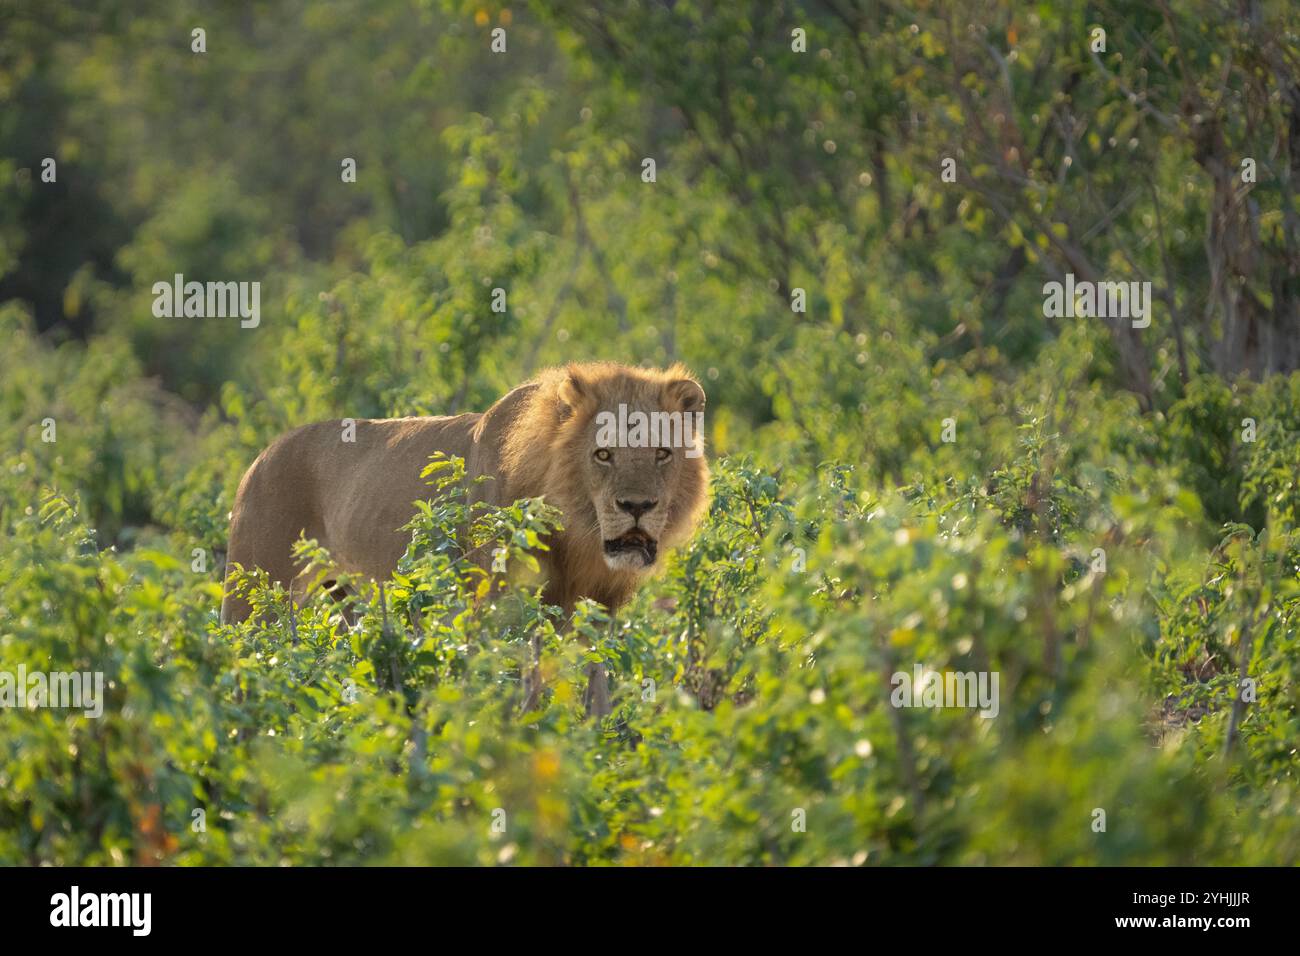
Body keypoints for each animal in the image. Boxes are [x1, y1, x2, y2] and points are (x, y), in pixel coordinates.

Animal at [219, 362, 710, 708]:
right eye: (603, 454)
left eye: (662, 453)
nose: (637, 507)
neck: (579, 538)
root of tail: (260, 455)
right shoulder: (498, 608)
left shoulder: (601, 608)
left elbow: (596, 685)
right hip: (254, 598)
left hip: (350, 602)